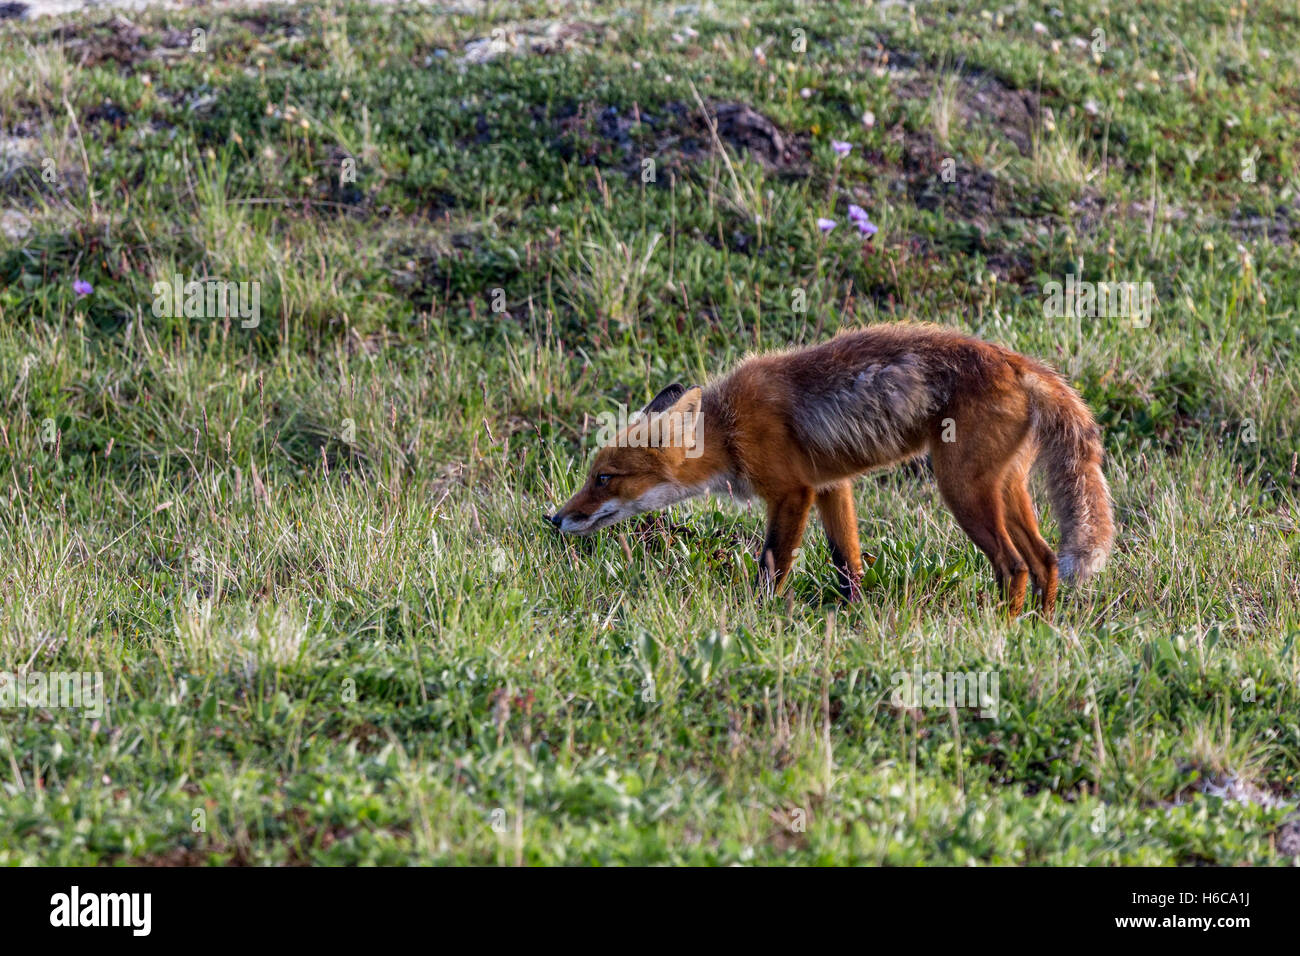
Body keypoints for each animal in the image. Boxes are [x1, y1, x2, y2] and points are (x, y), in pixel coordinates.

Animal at [547, 322, 1114, 617]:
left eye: (603, 478)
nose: (554, 519)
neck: (729, 428)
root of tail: (1017, 362)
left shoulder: (792, 492)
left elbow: (773, 564)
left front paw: (759, 619)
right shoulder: (830, 485)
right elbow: (848, 564)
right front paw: (854, 615)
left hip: (962, 491)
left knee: (1014, 565)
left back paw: (1002, 628)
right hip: (1005, 489)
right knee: (1044, 559)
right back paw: (1040, 626)